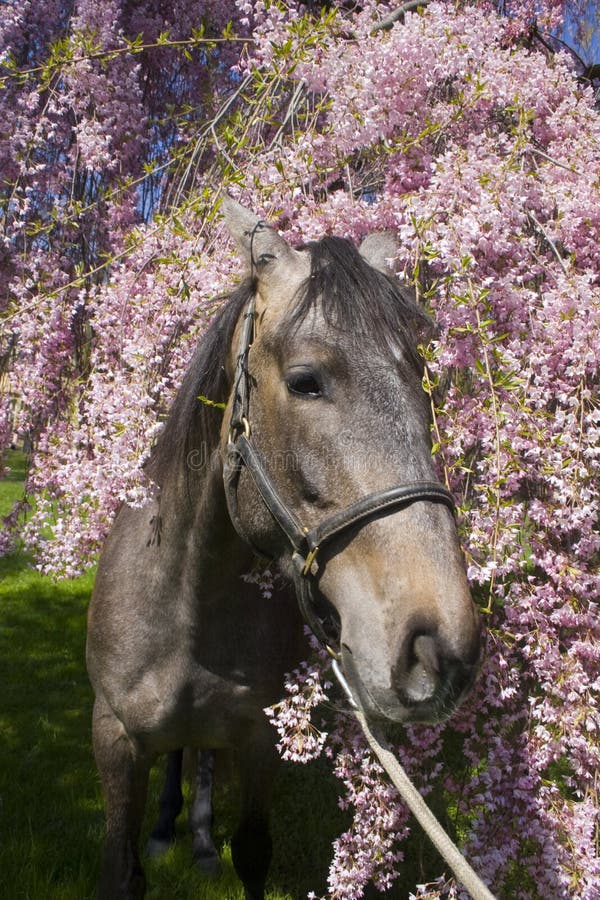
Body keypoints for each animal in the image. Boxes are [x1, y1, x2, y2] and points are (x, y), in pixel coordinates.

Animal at [86, 196, 482, 900]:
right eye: (304, 381)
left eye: (423, 380)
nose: (440, 651)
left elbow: (252, 850)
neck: (188, 606)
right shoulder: (114, 741)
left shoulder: (258, 742)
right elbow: (122, 865)